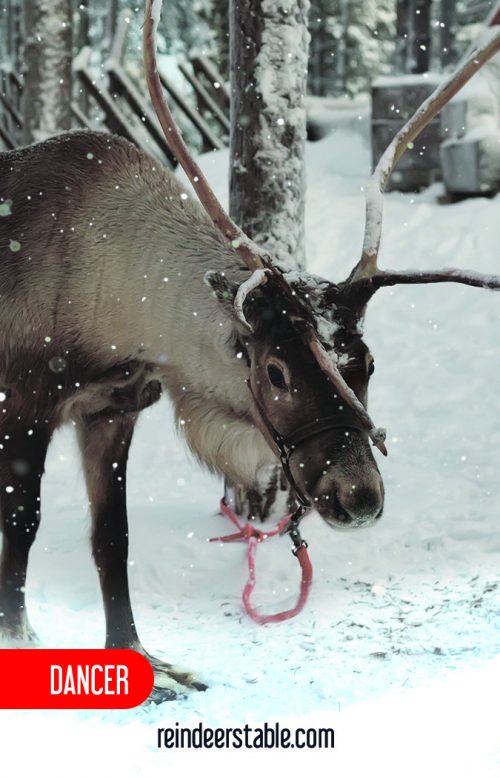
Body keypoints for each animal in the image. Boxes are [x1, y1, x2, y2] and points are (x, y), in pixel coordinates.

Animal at [0, 1, 499, 702]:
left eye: (367, 363)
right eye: (276, 369)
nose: (358, 497)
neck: (113, 315)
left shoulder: (112, 408)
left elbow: (111, 537)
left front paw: (143, 661)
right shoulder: (25, 404)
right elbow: (23, 524)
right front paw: (19, 640)